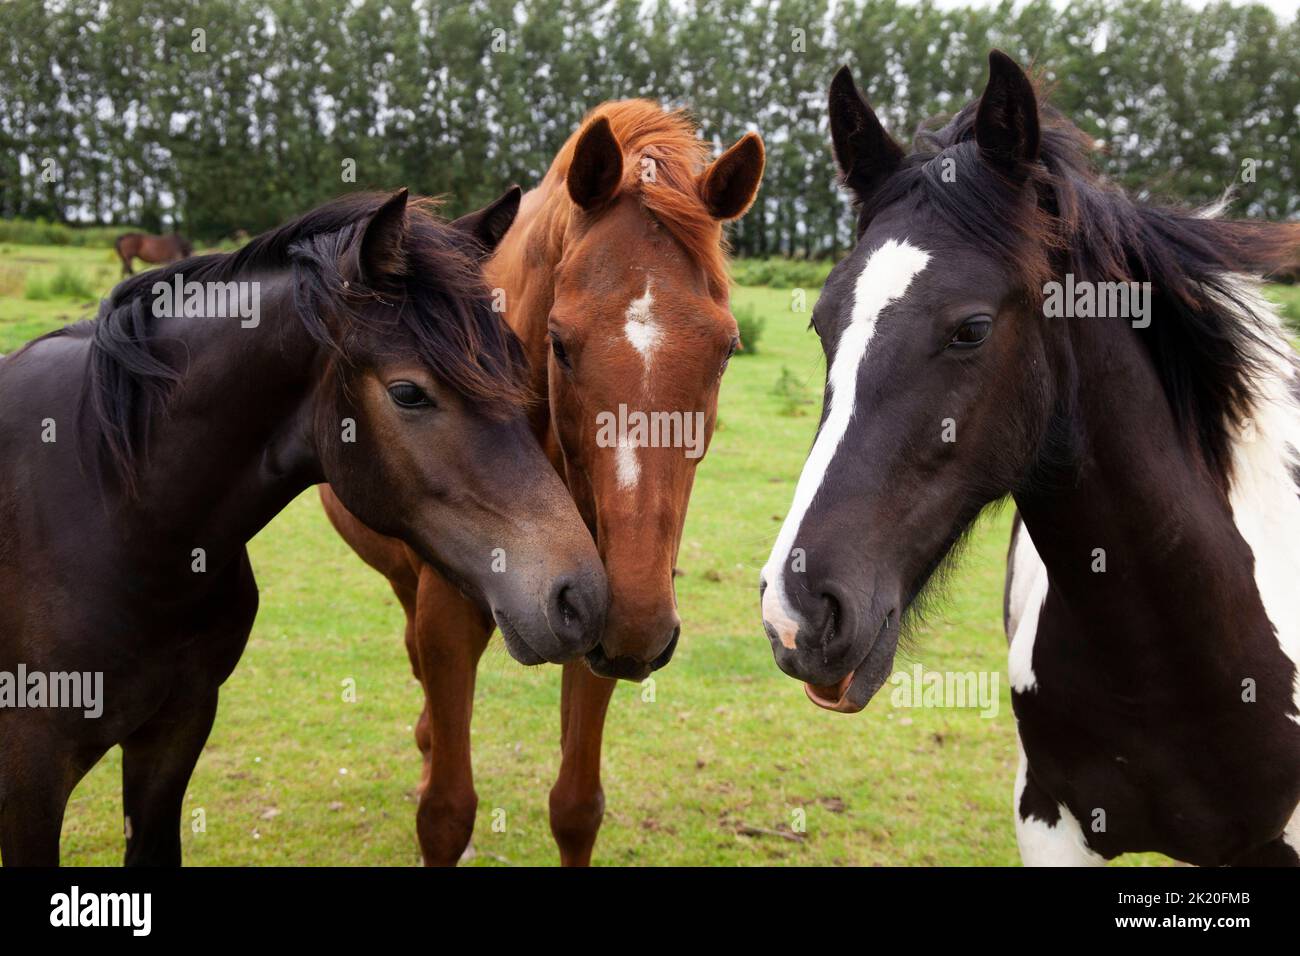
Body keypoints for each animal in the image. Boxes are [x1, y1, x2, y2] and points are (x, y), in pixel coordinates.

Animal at [0, 187, 609, 866]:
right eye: (408, 393)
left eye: (518, 369)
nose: (581, 597)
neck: (121, 518)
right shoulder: (32, 770)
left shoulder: (174, 732)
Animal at [322, 101, 765, 865]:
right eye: (559, 342)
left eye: (727, 350)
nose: (643, 623)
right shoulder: (451, 621)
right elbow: (446, 811)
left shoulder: (601, 616)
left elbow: (576, 807)